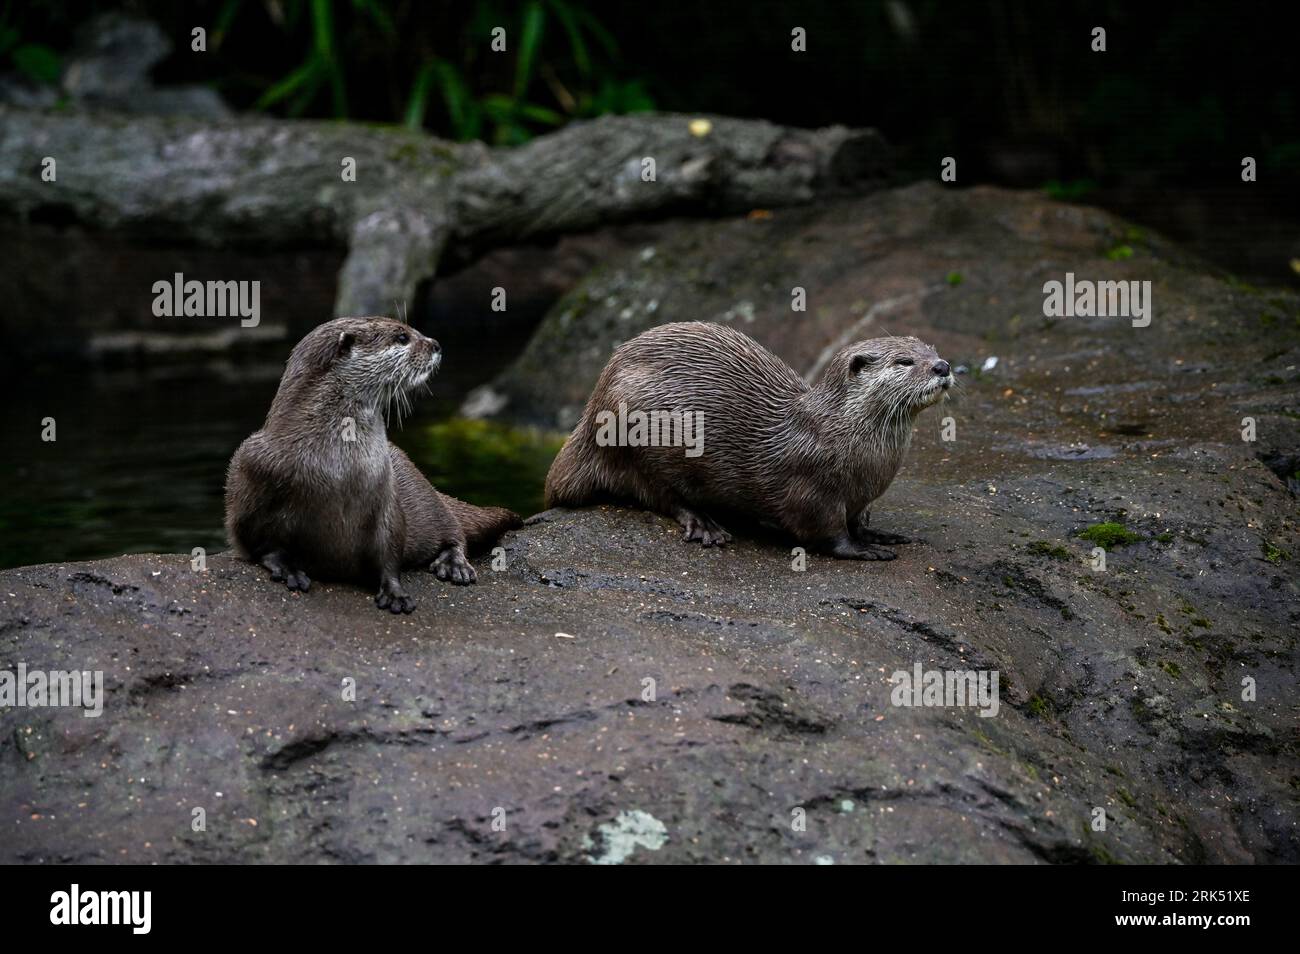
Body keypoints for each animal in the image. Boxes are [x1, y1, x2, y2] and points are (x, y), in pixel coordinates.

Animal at [225, 316, 520, 613]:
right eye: (402, 337)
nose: (435, 344)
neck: (336, 471)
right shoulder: (251, 481)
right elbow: (262, 543)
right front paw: (288, 569)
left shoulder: (384, 495)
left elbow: (389, 552)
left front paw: (394, 591)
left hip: (431, 504)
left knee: (455, 530)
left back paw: (454, 564)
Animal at [545, 321, 952, 560]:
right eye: (903, 362)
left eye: (931, 350)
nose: (943, 366)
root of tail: (591, 410)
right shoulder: (810, 489)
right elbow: (826, 530)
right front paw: (861, 550)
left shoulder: (863, 495)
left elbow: (860, 519)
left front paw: (879, 535)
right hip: (635, 434)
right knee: (657, 494)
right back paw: (705, 525)